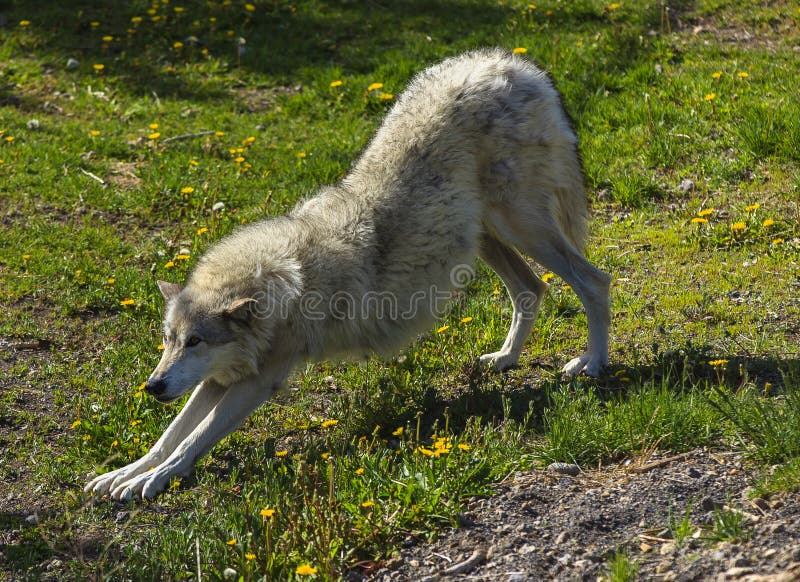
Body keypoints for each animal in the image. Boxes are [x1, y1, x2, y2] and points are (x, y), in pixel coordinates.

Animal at [85, 49, 611, 500]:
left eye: (195, 341)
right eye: (169, 340)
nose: (152, 387)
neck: (279, 287)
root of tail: (513, 64)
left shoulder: (258, 381)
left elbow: (192, 442)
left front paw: (152, 482)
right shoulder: (219, 379)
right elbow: (168, 436)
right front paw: (125, 473)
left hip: (521, 227)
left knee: (594, 281)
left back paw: (592, 365)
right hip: (487, 239)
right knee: (532, 289)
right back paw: (505, 358)